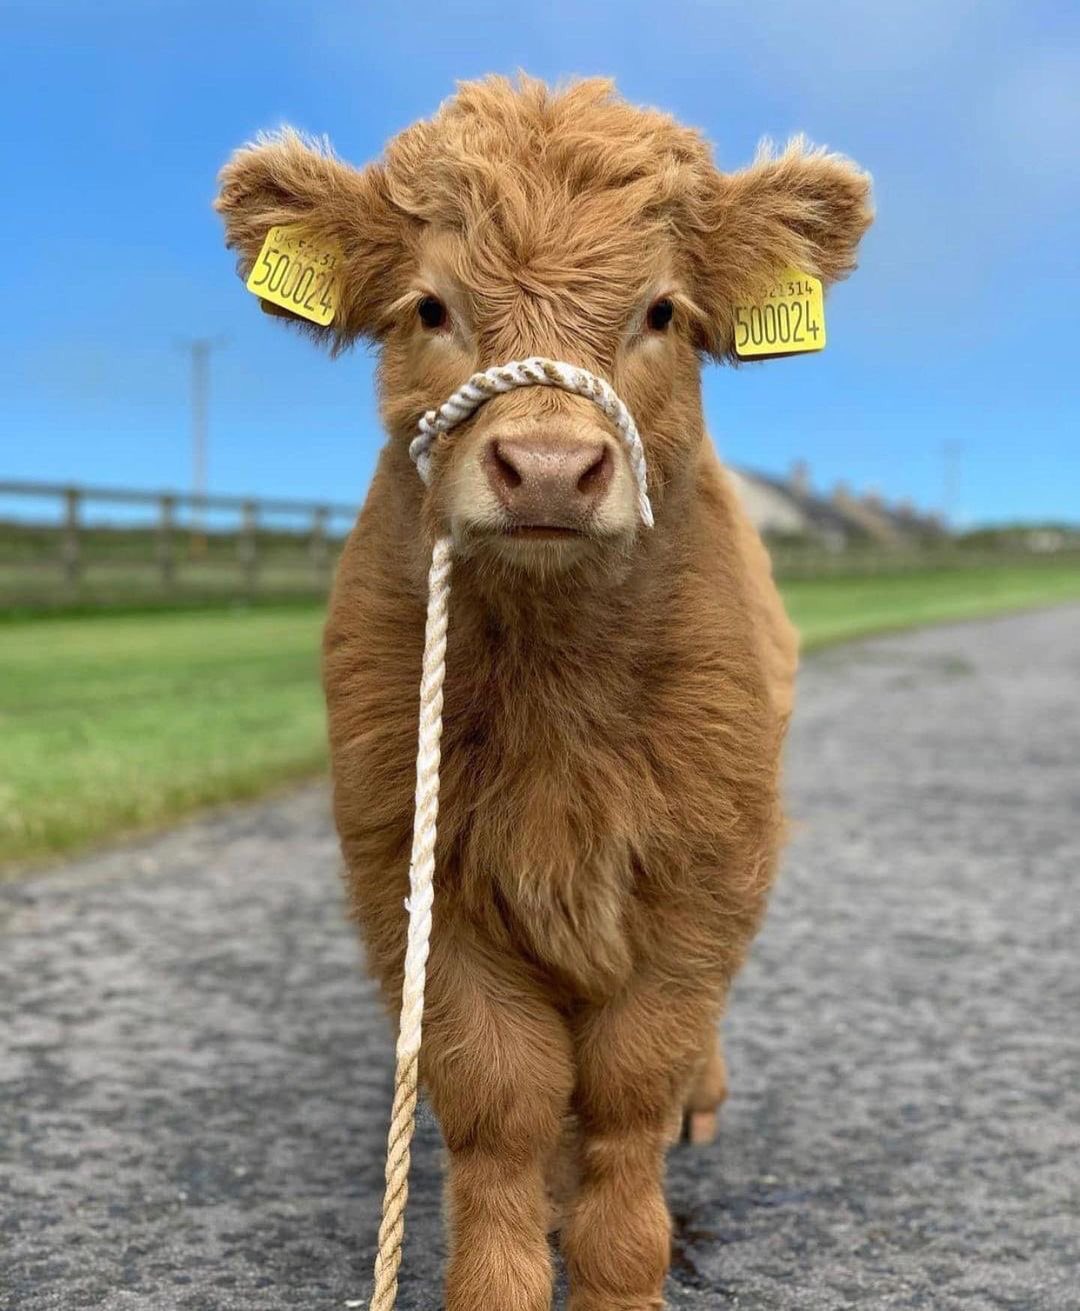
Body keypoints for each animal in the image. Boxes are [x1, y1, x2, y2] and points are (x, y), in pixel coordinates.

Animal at [217, 74, 872, 1311]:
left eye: (661, 312)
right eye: (431, 308)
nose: (553, 471)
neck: (555, 677)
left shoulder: (702, 868)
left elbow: (630, 1083)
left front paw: (619, 1269)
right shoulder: (412, 868)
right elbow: (504, 1095)